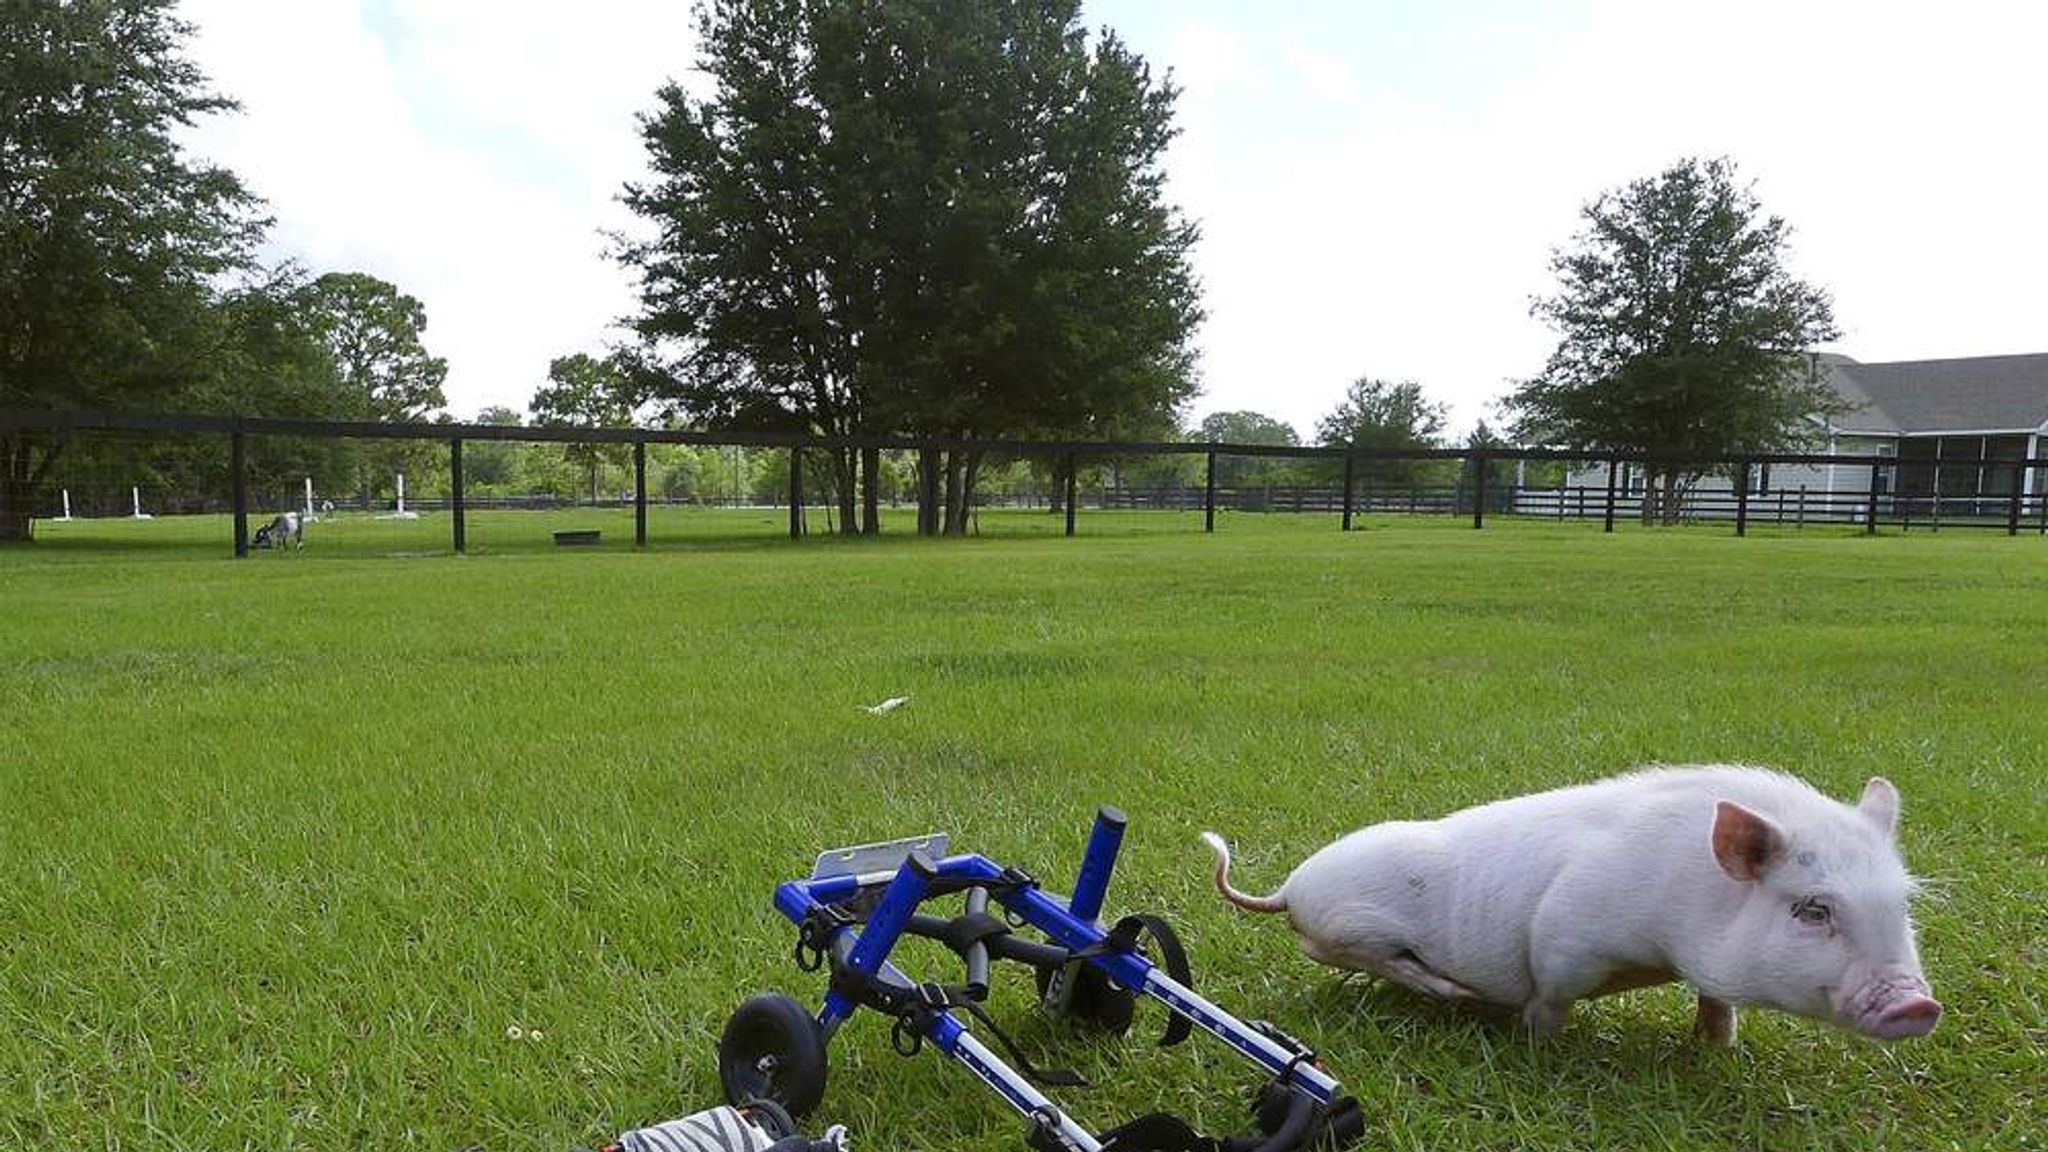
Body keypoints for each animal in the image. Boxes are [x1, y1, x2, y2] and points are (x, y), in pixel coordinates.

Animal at [1202, 766, 1941, 1045]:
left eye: (1902, 905)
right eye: (1812, 910)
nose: (1918, 1004)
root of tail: (1291, 888)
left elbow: (1716, 999)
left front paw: (1717, 1047)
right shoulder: (1565, 939)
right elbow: (1550, 1000)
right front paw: (1542, 1045)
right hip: (1348, 930)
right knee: (1374, 959)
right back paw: (1458, 996)